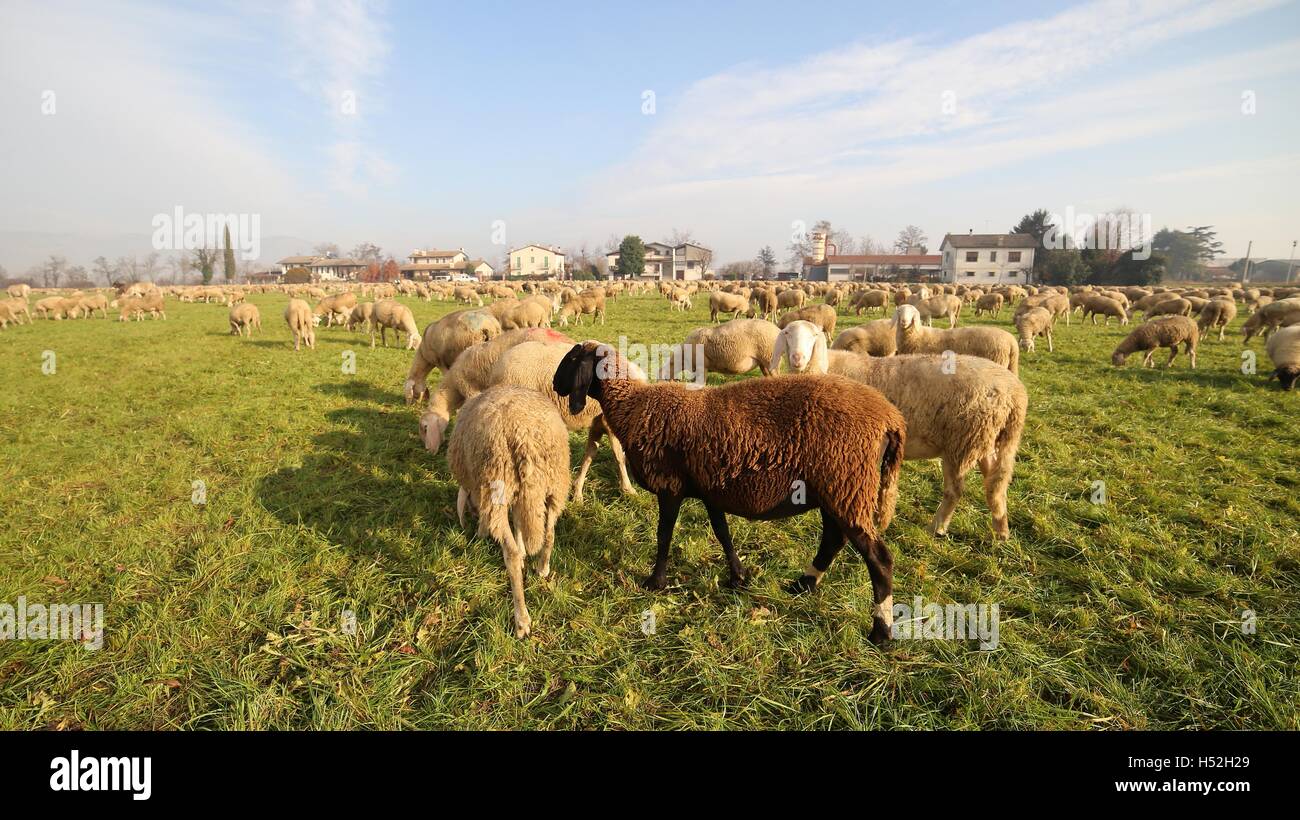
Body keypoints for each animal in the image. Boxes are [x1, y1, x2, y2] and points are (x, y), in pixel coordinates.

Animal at [446, 385, 571, 638]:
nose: (472, 516)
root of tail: (525, 435)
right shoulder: (519, 495)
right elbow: (519, 523)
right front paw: (523, 549)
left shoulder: (485, 491)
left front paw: (481, 533)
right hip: (556, 482)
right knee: (550, 532)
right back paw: (542, 568)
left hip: (497, 483)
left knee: (510, 555)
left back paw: (521, 621)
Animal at [553, 341, 907, 645]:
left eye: (572, 358)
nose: (556, 385)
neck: (635, 406)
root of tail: (891, 419)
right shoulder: (710, 489)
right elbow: (722, 533)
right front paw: (738, 576)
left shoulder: (670, 486)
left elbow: (664, 536)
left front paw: (655, 582)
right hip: (838, 489)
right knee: (833, 539)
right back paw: (802, 585)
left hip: (846, 482)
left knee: (878, 558)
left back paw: (881, 631)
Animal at [771, 321, 1026, 540]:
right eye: (787, 334)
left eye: (814, 335)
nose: (797, 358)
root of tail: (1016, 393)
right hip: (986, 440)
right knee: (995, 484)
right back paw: (1001, 530)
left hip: (962, 442)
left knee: (955, 490)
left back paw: (937, 527)